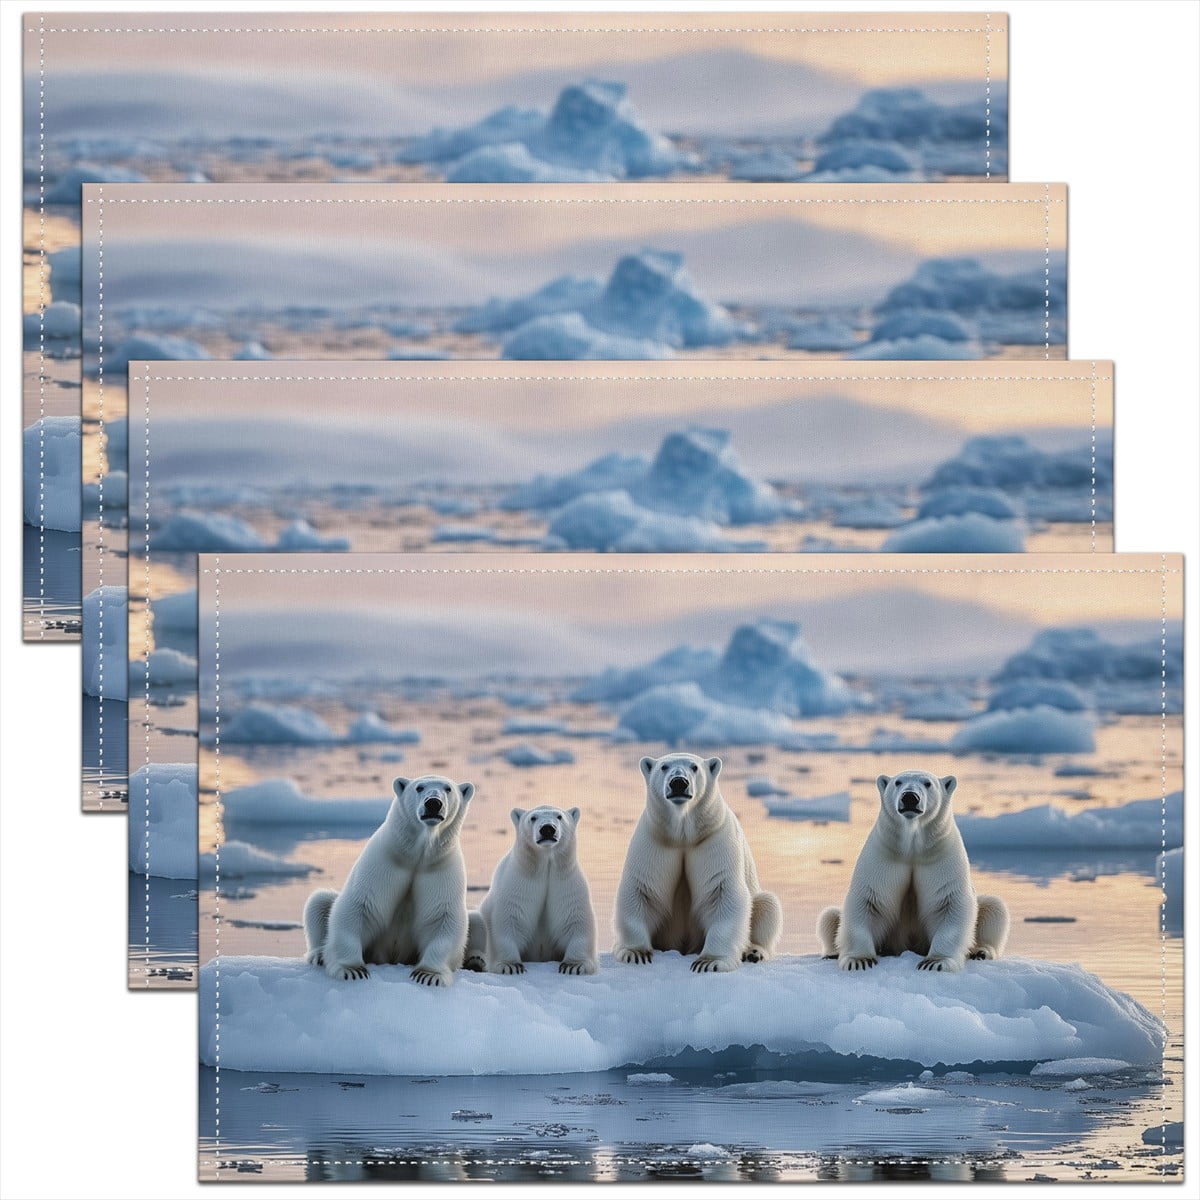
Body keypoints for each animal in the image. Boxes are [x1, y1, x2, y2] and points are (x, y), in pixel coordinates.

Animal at [303, 774, 475, 986]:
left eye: (448, 788)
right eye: (419, 787)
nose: (433, 803)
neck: (417, 856)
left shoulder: (440, 870)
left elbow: (442, 918)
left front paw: (428, 975)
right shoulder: (384, 862)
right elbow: (358, 907)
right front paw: (352, 970)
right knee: (319, 901)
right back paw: (318, 955)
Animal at [464, 805, 598, 976]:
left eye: (559, 816)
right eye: (533, 818)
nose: (547, 829)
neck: (546, 864)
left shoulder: (567, 884)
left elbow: (576, 920)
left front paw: (573, 966)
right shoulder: (518, 884)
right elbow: (509, 920)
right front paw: (510, 966)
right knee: (474, 920)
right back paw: (475, 960)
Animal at [613, 752, 781, 972]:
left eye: (694, 767)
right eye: (664, 767)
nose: (678, 782)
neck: (683, 835)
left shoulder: (714, 839)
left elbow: (723, 892)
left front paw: (709, 962)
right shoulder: (655, 841)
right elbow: (640, 890)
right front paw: (636, 953)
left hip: (760, 901)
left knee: (768, 906)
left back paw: (753, 952)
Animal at [817, 770, 1010, 972]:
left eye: (928, 783)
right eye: (898, 782)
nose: (910, 797)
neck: (912, 849)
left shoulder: (942, 859)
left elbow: (950, 903)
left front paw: (935, 962)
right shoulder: (884, 857)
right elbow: (868, 901)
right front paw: (859, 960)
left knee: (994, 908)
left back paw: (980, 952)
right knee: (829, 917)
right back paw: (831, 953)